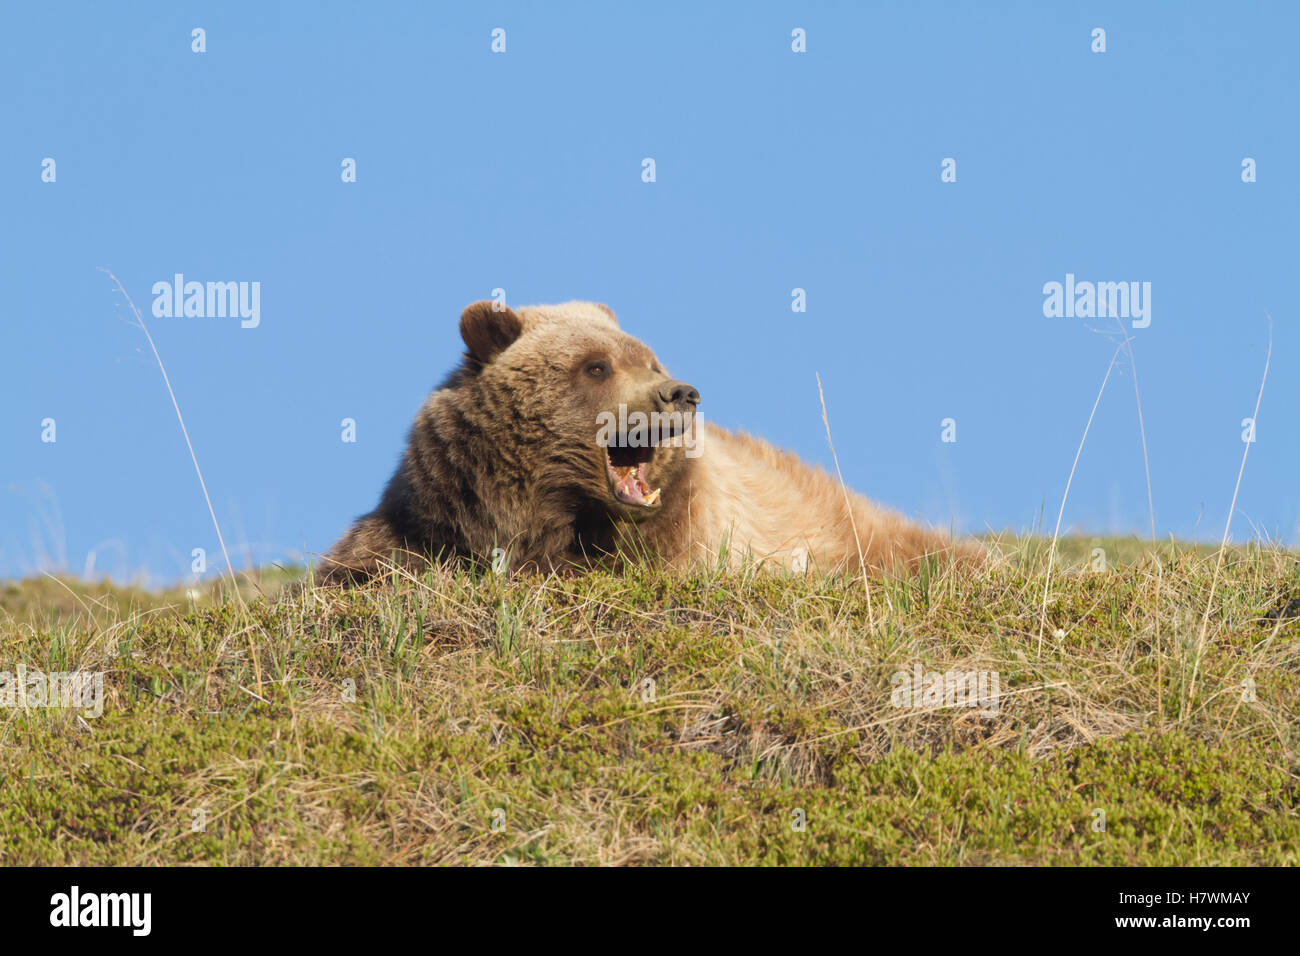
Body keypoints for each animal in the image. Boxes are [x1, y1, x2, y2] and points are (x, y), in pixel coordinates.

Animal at [318, 300, 983, 584]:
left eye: (650, 358)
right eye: (596, 365)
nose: (680, 392)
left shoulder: (689, 528)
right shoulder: (431, 513)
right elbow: (368, 561)